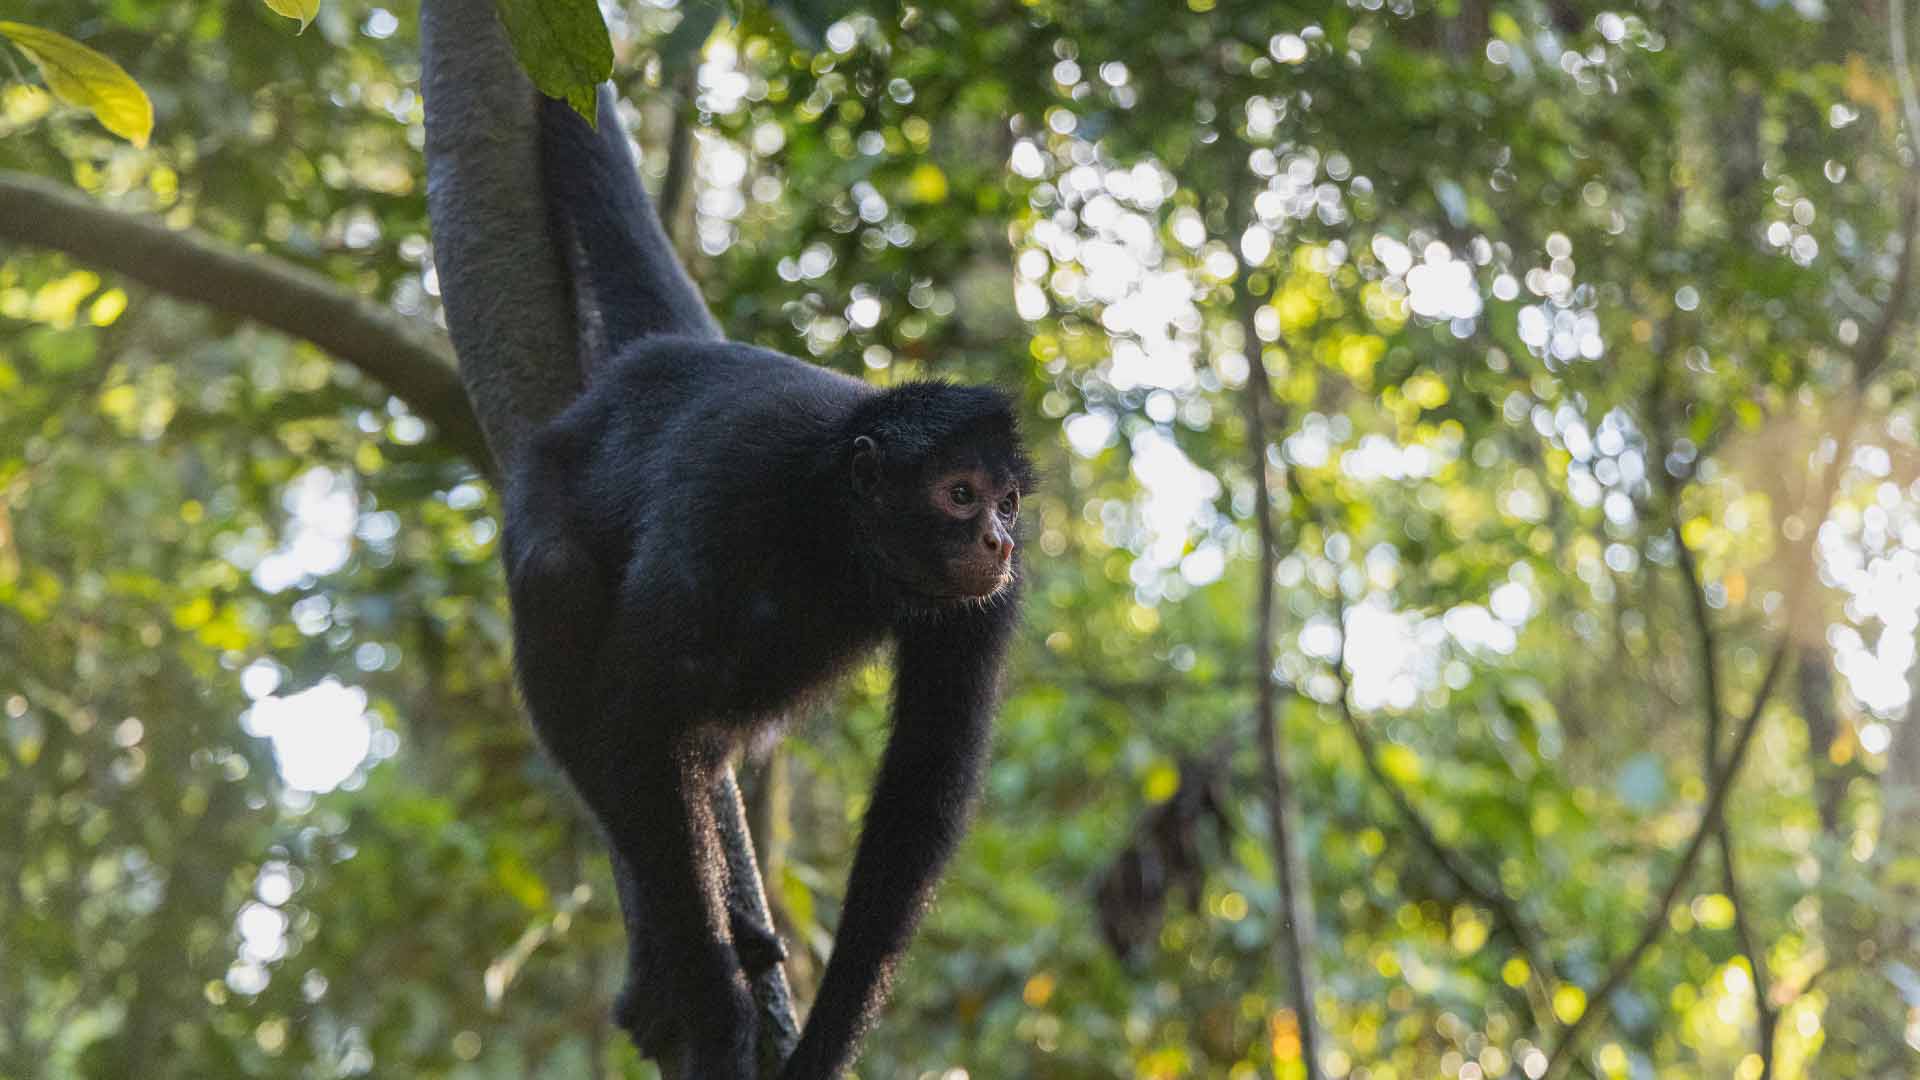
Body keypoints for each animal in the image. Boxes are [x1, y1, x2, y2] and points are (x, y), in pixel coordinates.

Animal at [493, 84, 1034, 1080]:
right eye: (959, 493)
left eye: (1009, 500)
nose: (998, 538)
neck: (837, 530)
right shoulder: (728, 494)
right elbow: (637, 717)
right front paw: (716, 1010)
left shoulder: (988, 602)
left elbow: (921, 789)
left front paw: (821, 1047)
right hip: (548, 467)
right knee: (560, 587)